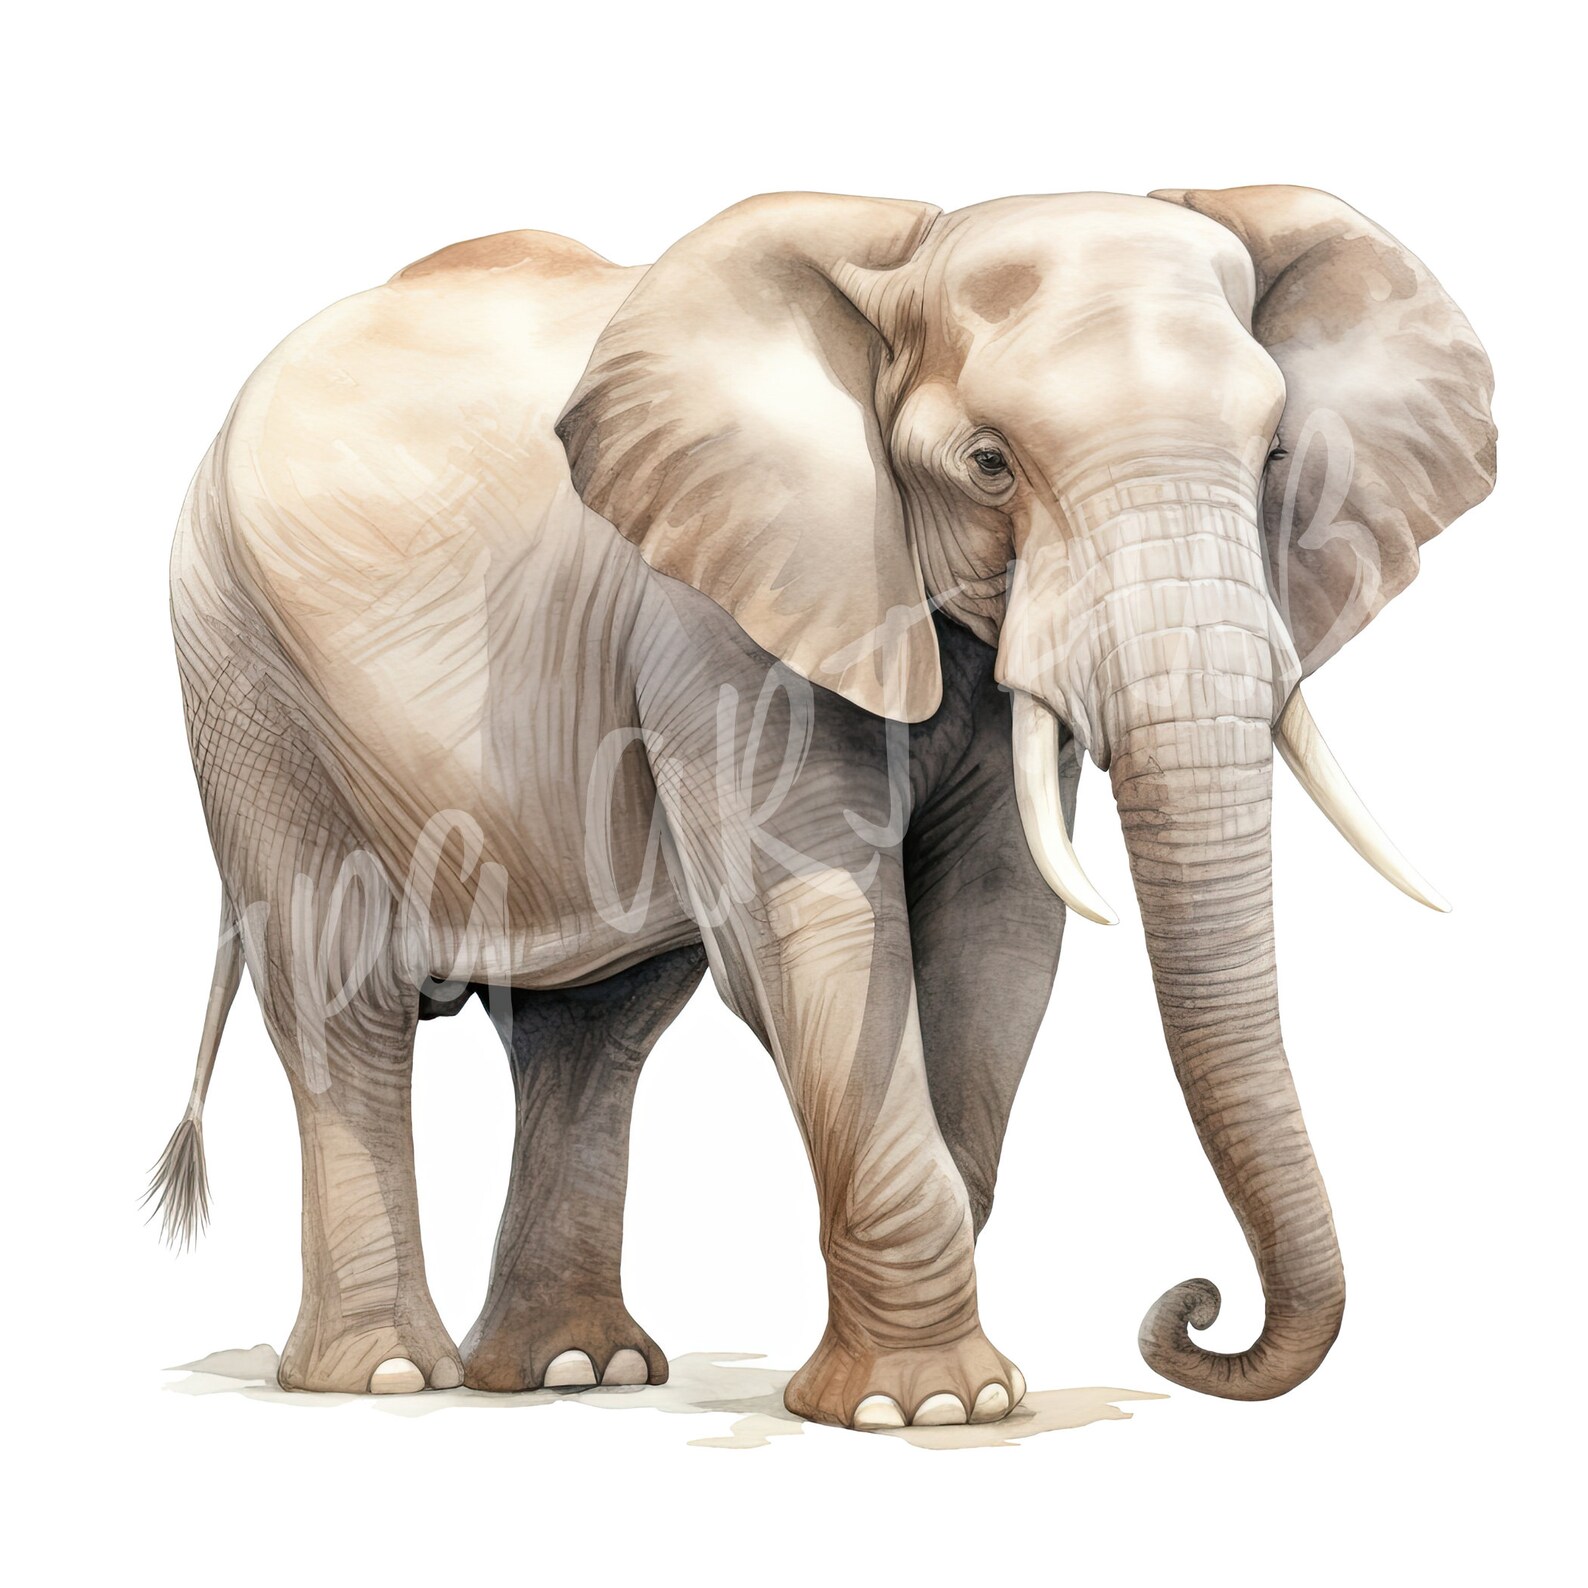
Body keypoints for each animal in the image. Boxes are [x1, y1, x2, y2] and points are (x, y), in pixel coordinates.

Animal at [152, 186, 1495, 1429]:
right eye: (989, 463)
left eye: (1273, 459)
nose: (1194, 1304)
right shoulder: (708, 609)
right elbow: (811, 927)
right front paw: (936, 1408)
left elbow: (997, 928)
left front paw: (947, 1385)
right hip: (243, 666)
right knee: (339, 998)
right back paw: (382, 1377)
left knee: (591, 1029)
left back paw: (573, 1372)